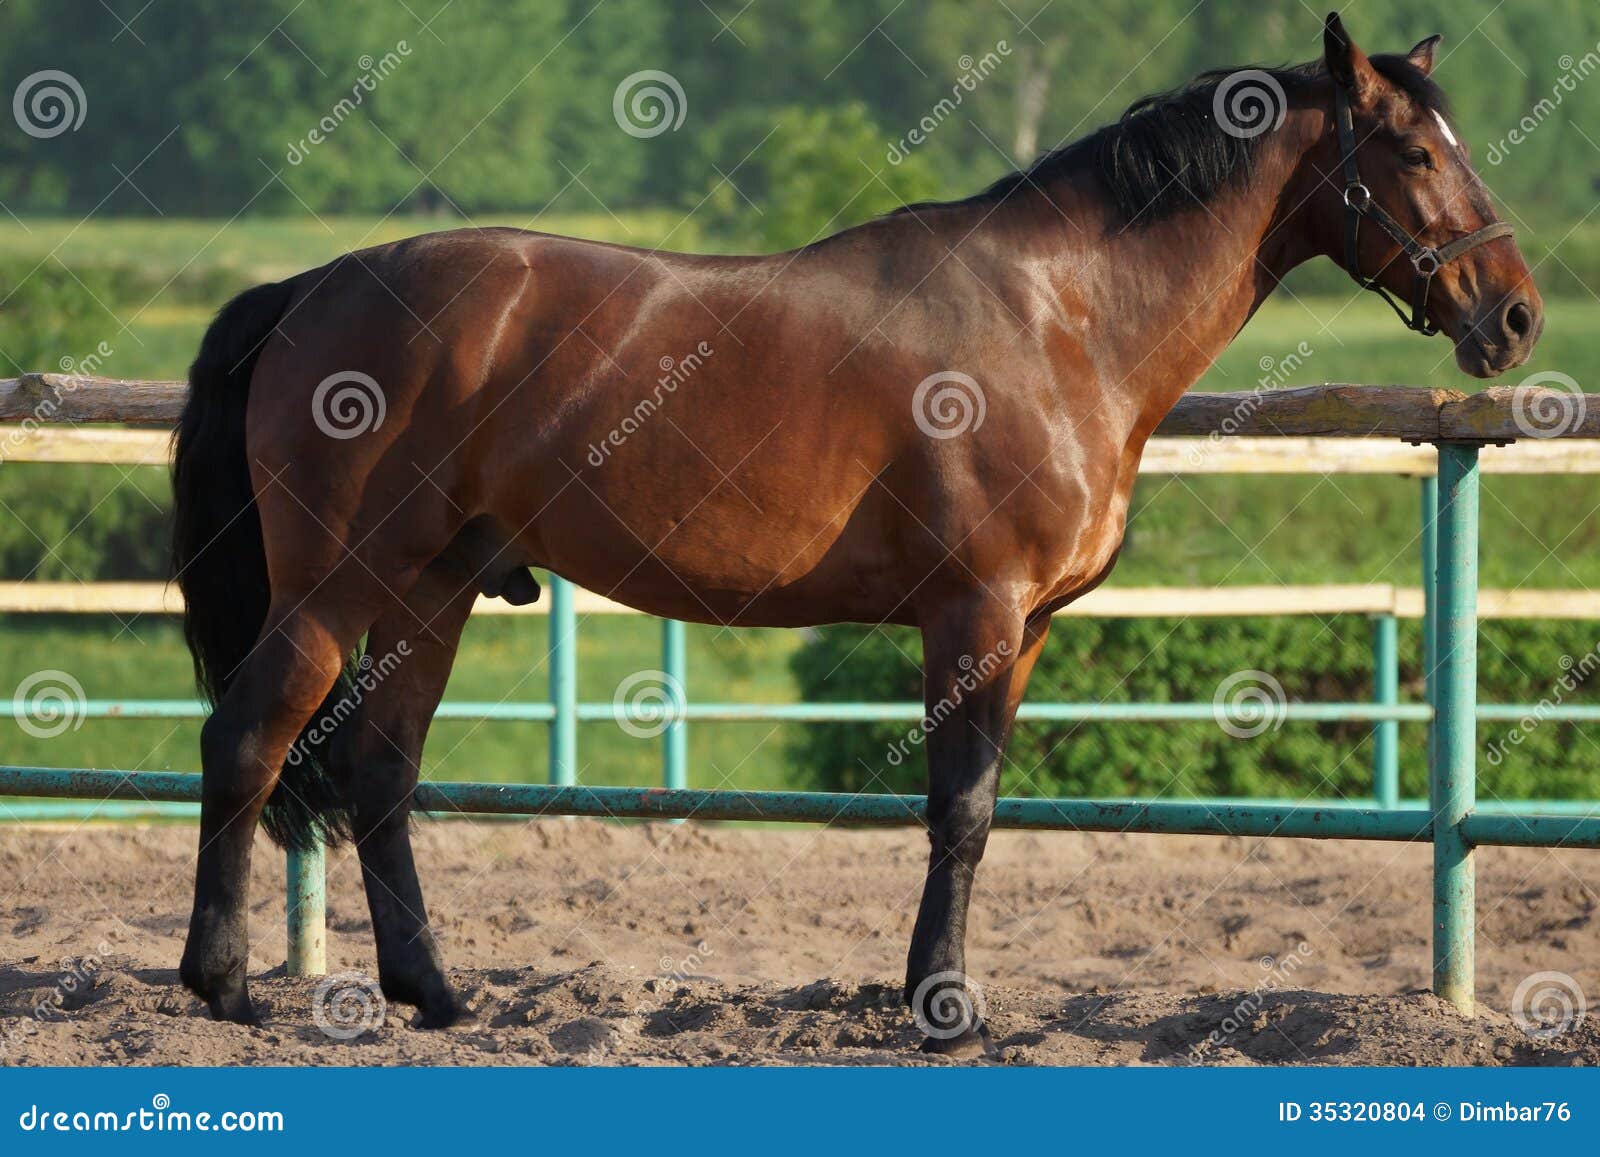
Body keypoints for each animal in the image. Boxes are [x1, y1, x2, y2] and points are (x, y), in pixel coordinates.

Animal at [172, 12, 1541, 1057]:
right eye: (1411, 150)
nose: (1516, 315)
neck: (1060, 314)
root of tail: (310, 288)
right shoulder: (974, 611)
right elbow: (961, 809)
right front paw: (942, 1007)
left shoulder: (1026, 631)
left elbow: (976, 805)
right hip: (336, 589)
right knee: (248, 741)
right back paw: (223, 983)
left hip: (431, 591)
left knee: (381, 774)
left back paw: (436, 993)